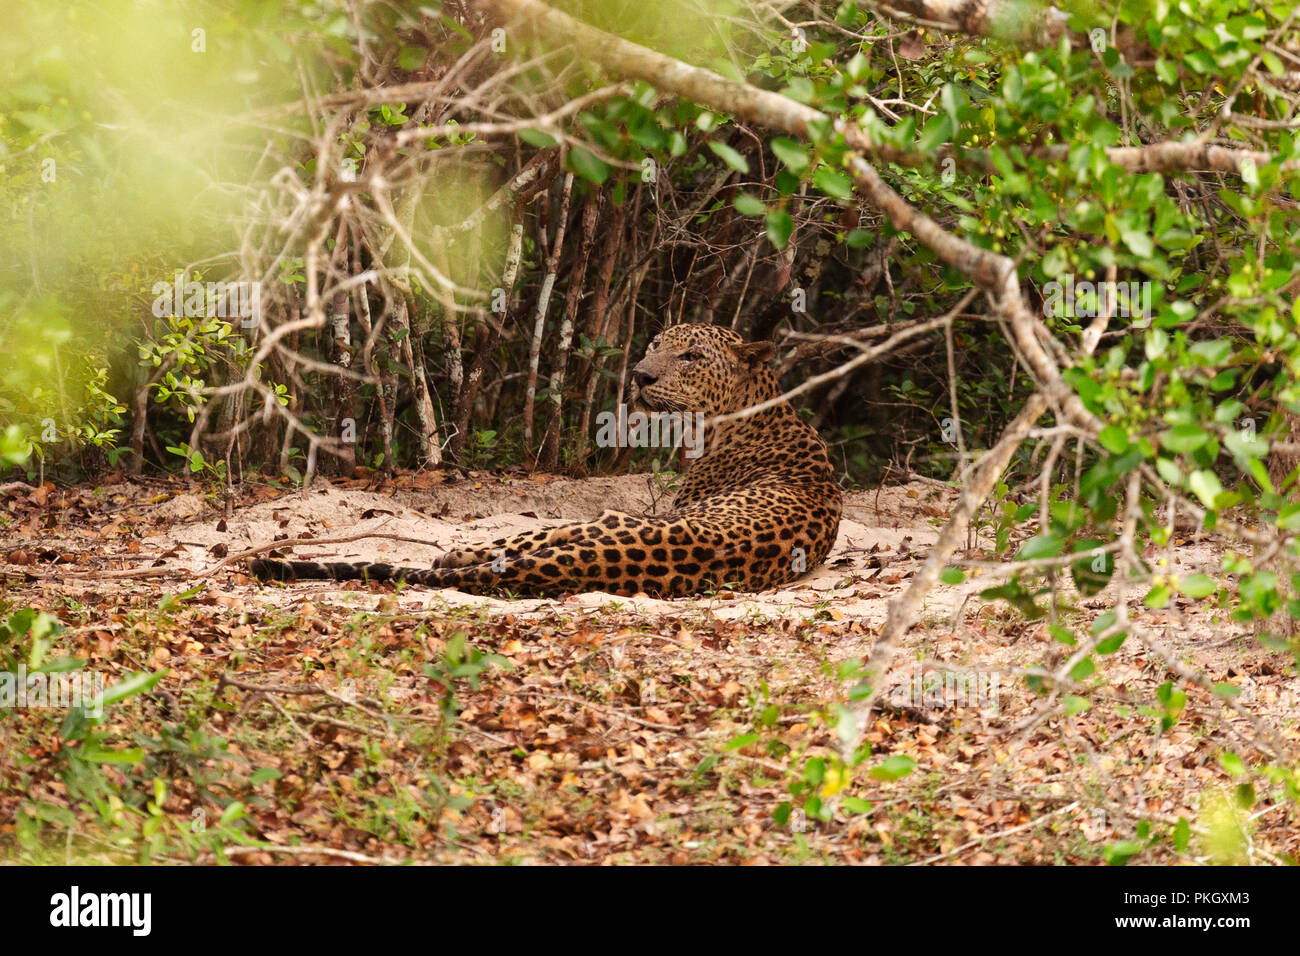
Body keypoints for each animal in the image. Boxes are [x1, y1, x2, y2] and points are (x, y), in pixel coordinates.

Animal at [250, 324, 842, 597]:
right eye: (655, 344)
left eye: (692, 356)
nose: (641, 375)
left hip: (593, 520)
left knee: (499, 546)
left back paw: (455, 553)